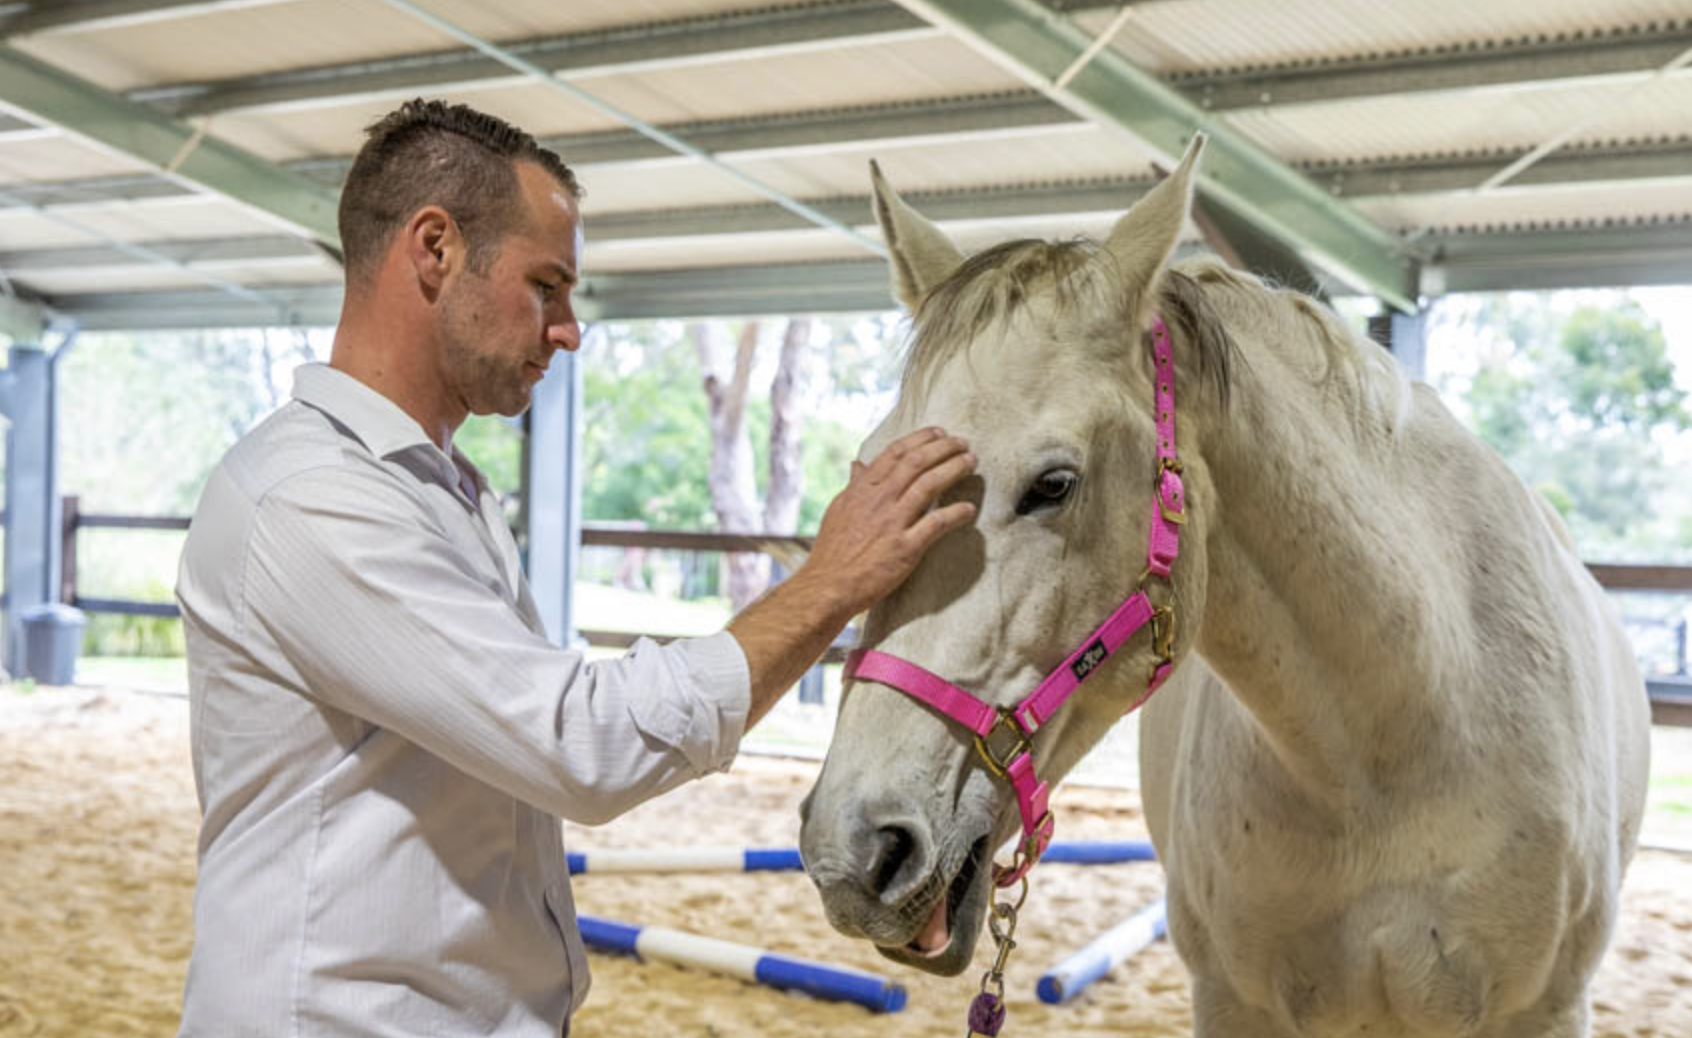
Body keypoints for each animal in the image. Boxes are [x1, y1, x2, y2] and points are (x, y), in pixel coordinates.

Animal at [796, 137, 1651, 1037]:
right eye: (869, 470)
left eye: (1055, 484)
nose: (853, 850)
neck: (1397, 743)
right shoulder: (1236, 1000)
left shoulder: (1543, 1008)